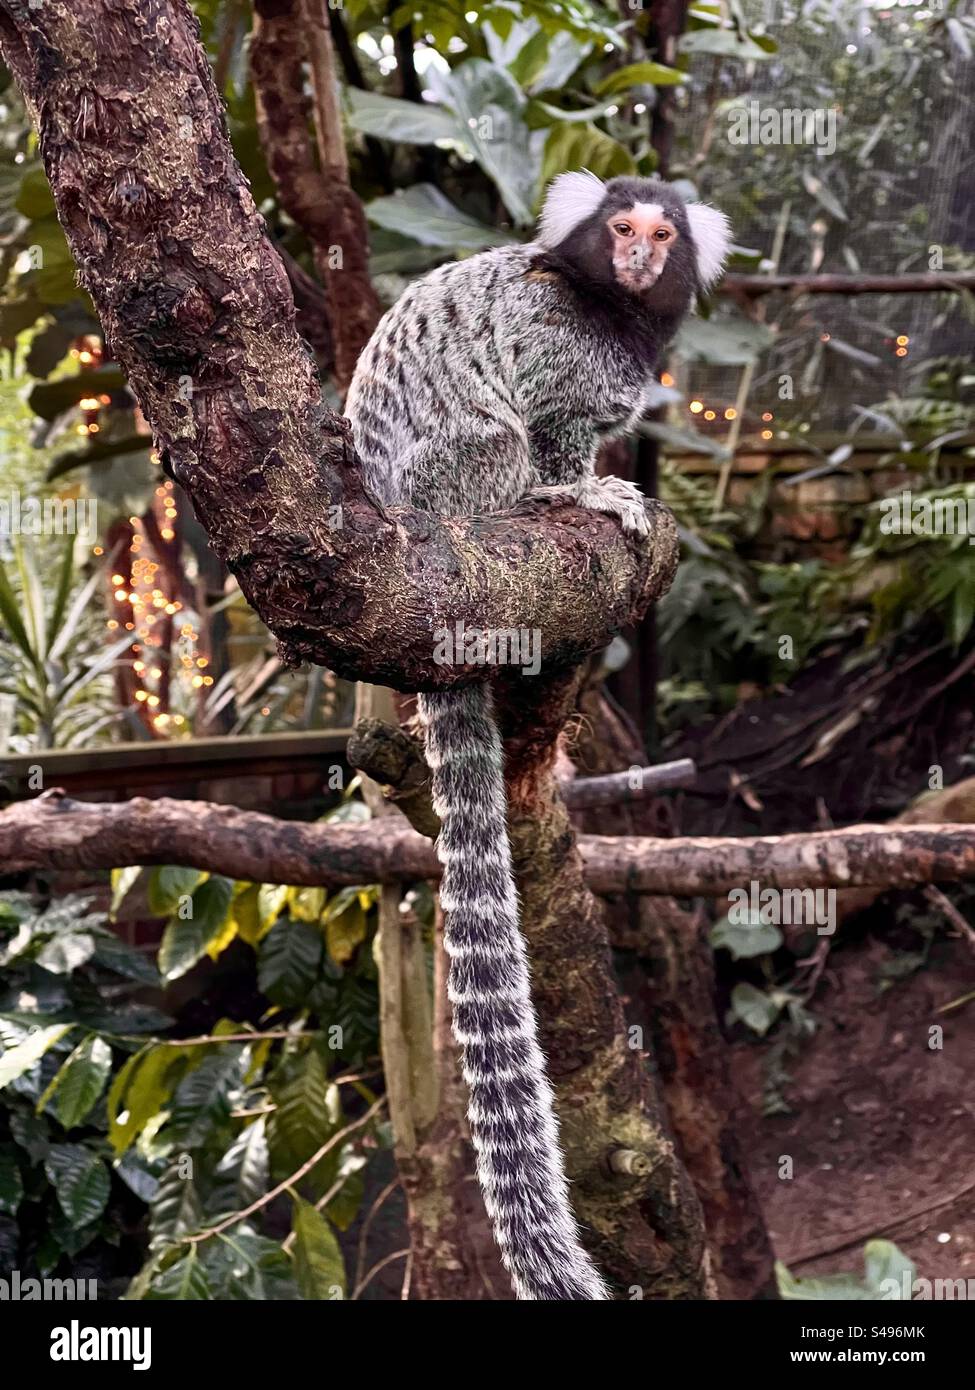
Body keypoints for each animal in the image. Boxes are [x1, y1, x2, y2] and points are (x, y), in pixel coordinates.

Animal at [345, 172, 731, 1300]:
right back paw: (536, 493)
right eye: (621, 229)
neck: (612, 308)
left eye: (662, 235)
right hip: (453, 485)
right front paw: (589, 484)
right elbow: (552, 416)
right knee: (500, 446)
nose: (641, 256)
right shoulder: (554, 353)